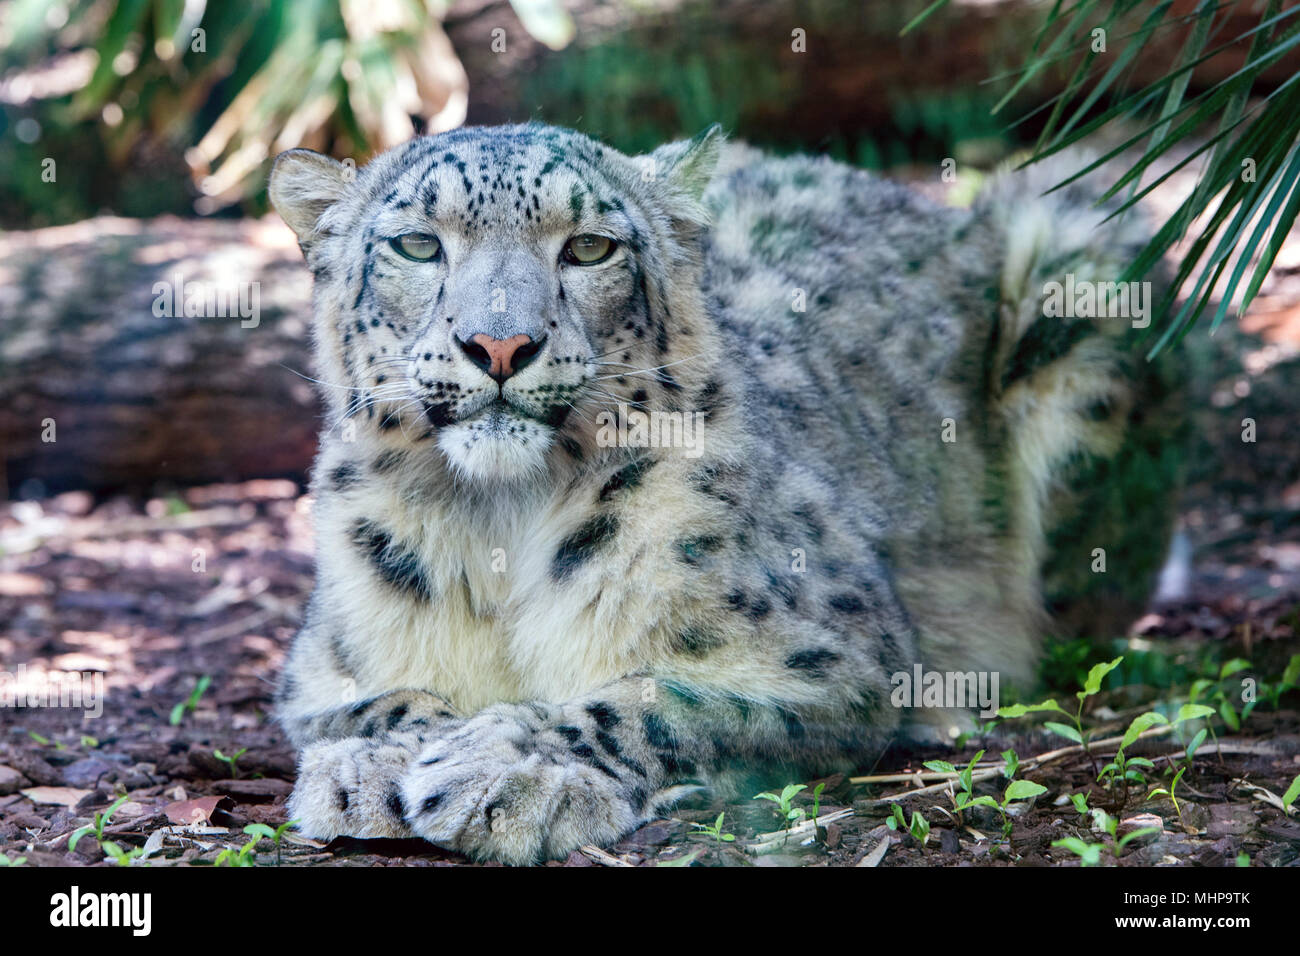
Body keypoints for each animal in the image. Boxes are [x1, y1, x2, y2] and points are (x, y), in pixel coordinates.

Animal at [267, 121, 1182, 864]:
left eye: (590, 248)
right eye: (418, 246)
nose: (499, 344)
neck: (500, 522)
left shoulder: (830, 654)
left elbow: (658, 699)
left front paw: (514, 768)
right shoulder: (320, 664)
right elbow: (362, 704)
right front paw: (369, 763)